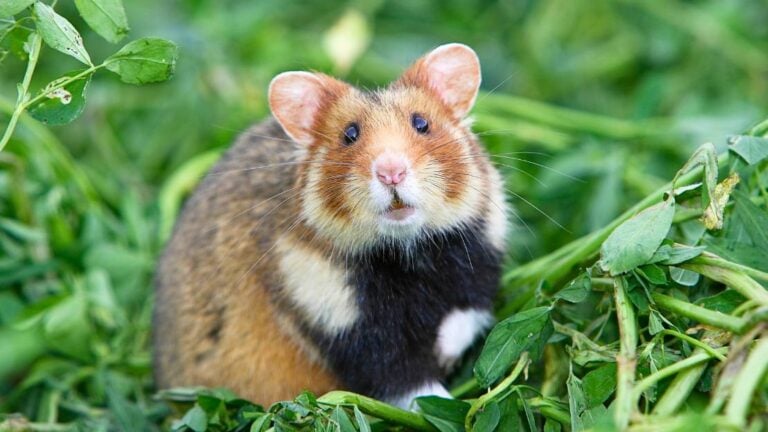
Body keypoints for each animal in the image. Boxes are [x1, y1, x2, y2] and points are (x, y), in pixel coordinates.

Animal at [153, 43, 509, 408]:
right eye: (349, 135)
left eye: (421, 123)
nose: (391, 173)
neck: (405, 249)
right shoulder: (342, 319)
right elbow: (410, 384)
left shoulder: (480, 263)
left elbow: (467, 316)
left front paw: (445, 354)